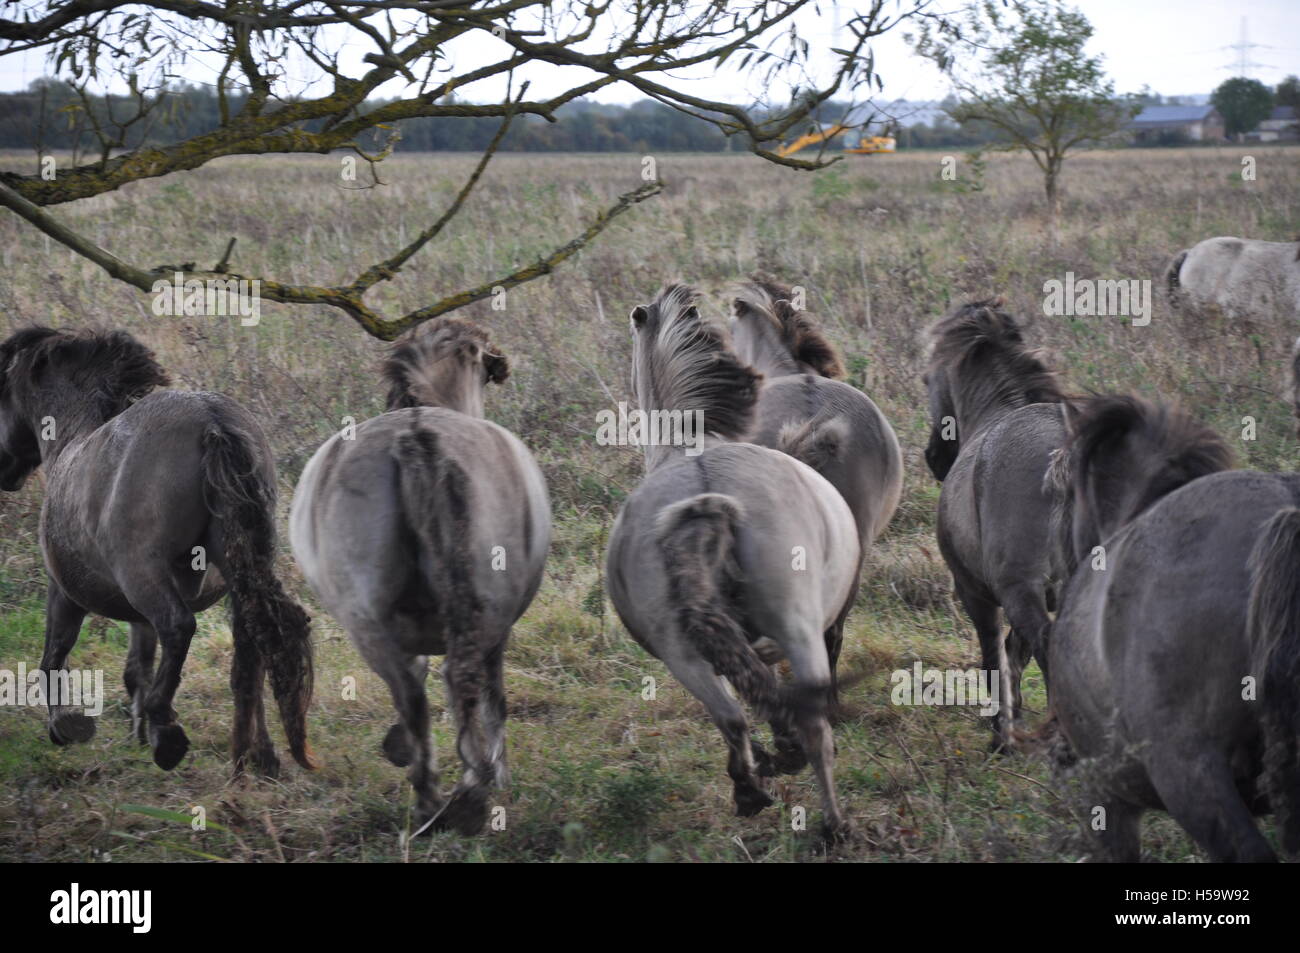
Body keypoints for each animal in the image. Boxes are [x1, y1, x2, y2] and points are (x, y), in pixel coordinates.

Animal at [0, 326, 315, 775]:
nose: (2, 470)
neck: (72, 440)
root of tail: (212, 421)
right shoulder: (136, 613)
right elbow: (137, 666)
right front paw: (136, 734)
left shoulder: (64, 591)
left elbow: (53, 657)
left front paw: (67, 726)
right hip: (236, 572)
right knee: (252, 648)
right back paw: (256, 757)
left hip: (144, 575)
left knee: (179, 627)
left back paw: (169, 734)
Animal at [289, 317, 550, 835]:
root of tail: (415, 437)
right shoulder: (500, 627)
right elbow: (494, 698)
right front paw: (500, 772)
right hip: (486, 607)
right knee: (460, 679)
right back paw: (467, 792)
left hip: (365, 619)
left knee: (410, 693)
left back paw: (432, 796)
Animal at [604, 284, 861, 840]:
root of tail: (707, 500)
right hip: (792, 633)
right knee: (809, 728)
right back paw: (824, 819)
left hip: (682, 653)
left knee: (731, 717)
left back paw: (759, 789)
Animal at [923, 299, 1066, 747]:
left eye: (926, 378)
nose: (933, 459)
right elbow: (1015, 655)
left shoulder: (979, 594)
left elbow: (994, 658)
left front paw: (1001, 733)